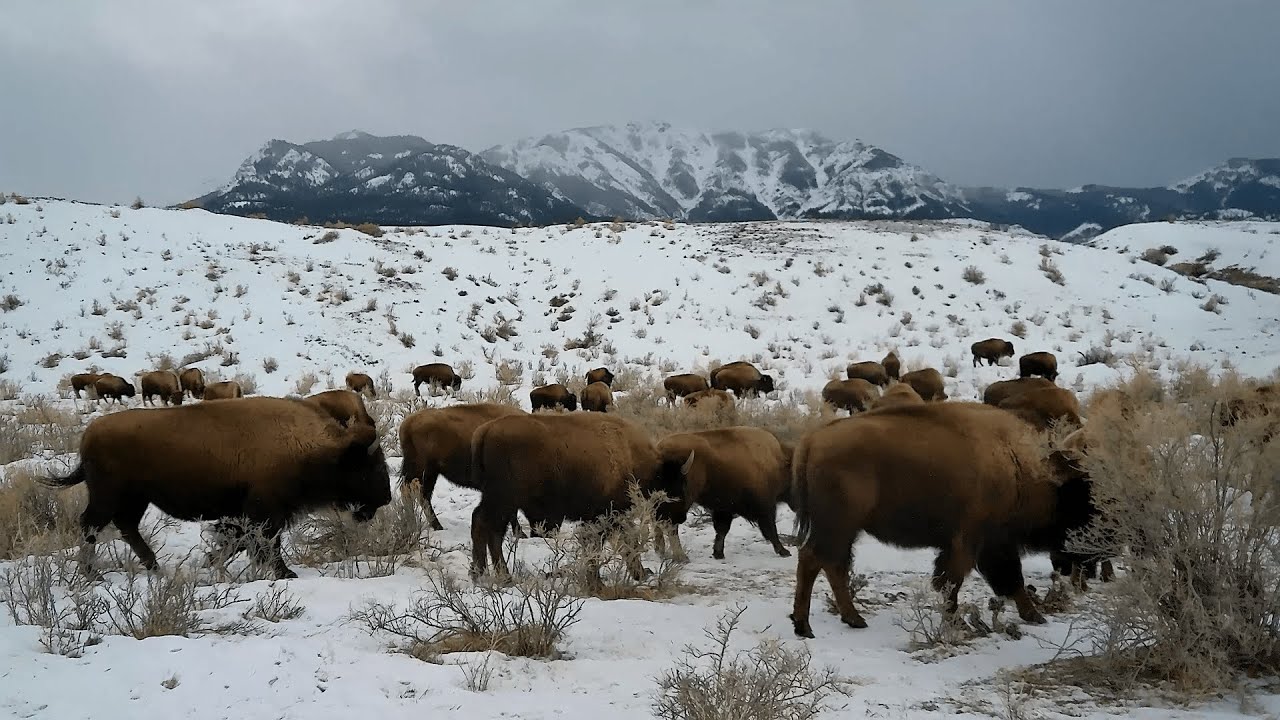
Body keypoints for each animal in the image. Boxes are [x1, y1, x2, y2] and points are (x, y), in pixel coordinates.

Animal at [40, 396, 392, 580]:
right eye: (371, 466)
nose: (387, 497)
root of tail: (89, 434)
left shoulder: (247, 514)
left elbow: (237, 541)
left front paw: (211, 563)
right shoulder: (265, 511)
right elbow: (265, 543)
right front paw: (285, 573)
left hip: (135, 499)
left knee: (125, 527)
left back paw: (155, 568)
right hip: (110, 496)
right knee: (90, 526)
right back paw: (92, 574)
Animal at [788, 402, 1096, 638]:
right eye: (1081, 502)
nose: (1088, 555)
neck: (1018, 466)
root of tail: (813, 439)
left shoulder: (989, 544)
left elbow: (1009, 580)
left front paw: (1034, 615)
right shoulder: (974, 542)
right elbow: (956, 583)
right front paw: (958, 622)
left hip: (844, 529)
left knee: (831, 564)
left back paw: (851, 619)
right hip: (838, 525)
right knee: (814, 559)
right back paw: (806, 626)